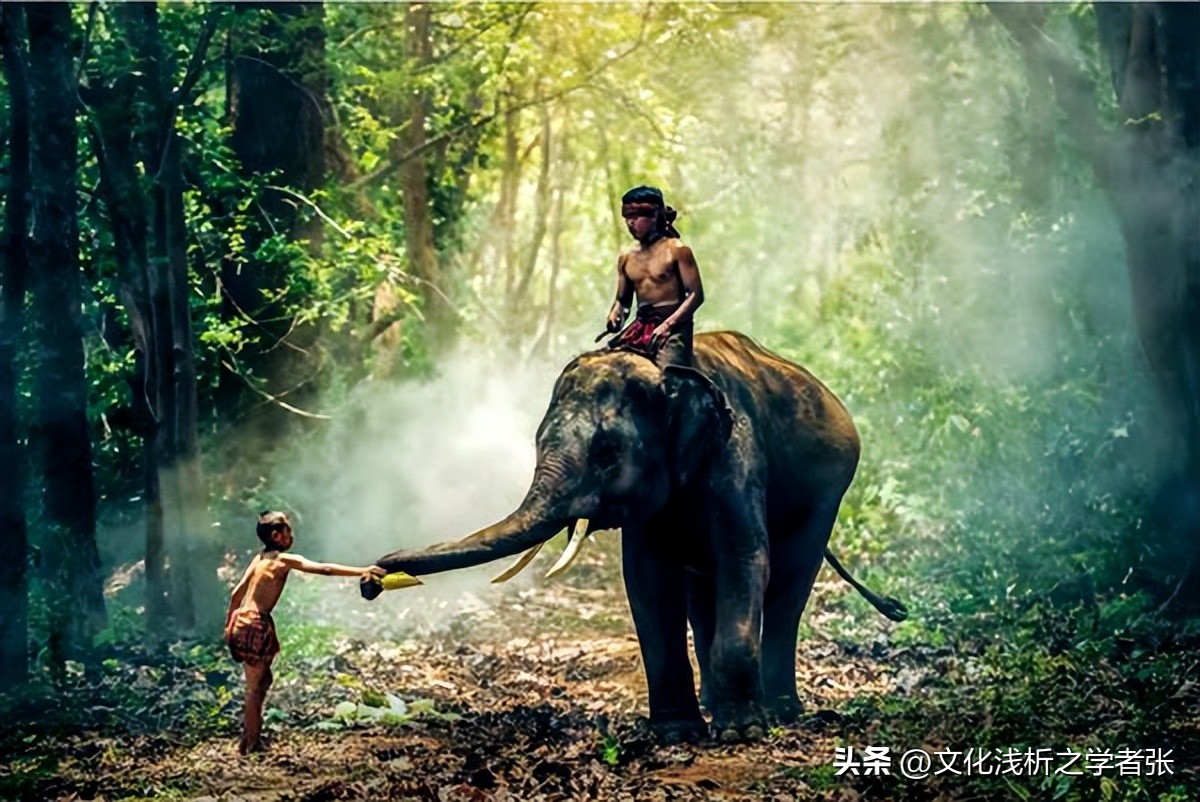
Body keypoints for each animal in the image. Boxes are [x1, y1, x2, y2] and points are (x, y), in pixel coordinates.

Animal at [365, 331, 906, 743]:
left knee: (789, 586)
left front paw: (740, 734)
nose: (373, 578)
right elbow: (648, 580)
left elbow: (744, 559)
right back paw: (715, 703)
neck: (669, 376)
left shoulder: (736, 457)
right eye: (537, 442)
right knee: (701, 594)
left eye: (607, 452)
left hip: (828, 494)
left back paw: (780, 712)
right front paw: (678, 733)